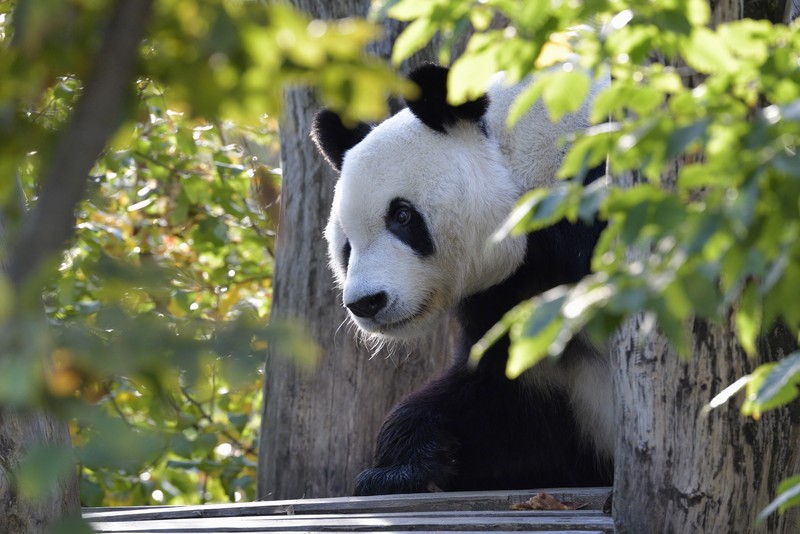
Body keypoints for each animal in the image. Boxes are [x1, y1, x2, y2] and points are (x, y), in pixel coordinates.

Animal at [311, 64, 613, 495]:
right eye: (346, 246)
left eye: (402, 216)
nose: (366, 303)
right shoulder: (509, 301)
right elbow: (497, 402)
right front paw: (407, 467)